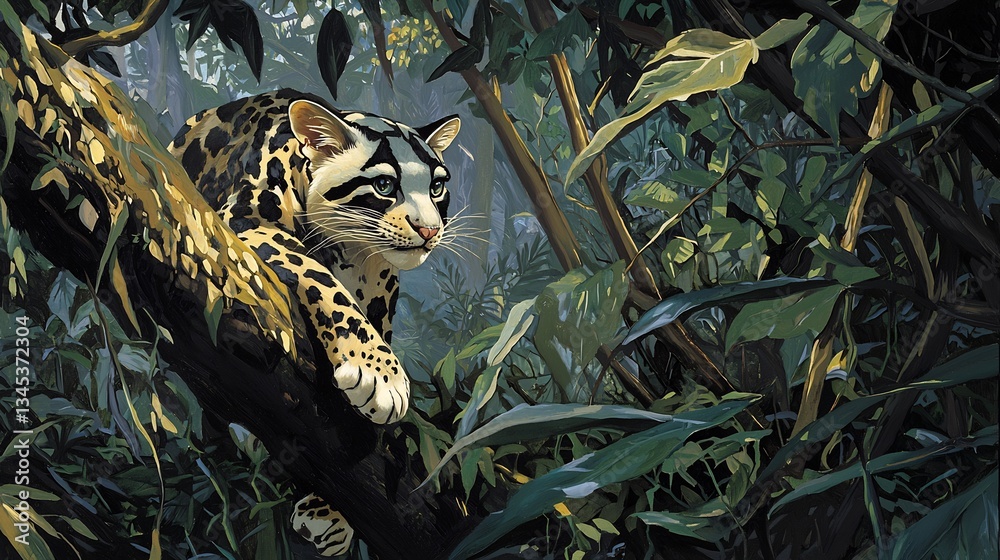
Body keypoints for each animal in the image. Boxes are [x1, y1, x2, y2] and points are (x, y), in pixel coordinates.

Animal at [168, 88, 460, 557]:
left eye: (437, 187)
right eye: (384, 185)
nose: (430, 231)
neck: (352, 250)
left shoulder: (382, 289)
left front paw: (327, 508)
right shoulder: (244, 220)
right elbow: (320, 276)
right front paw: (380, 377)